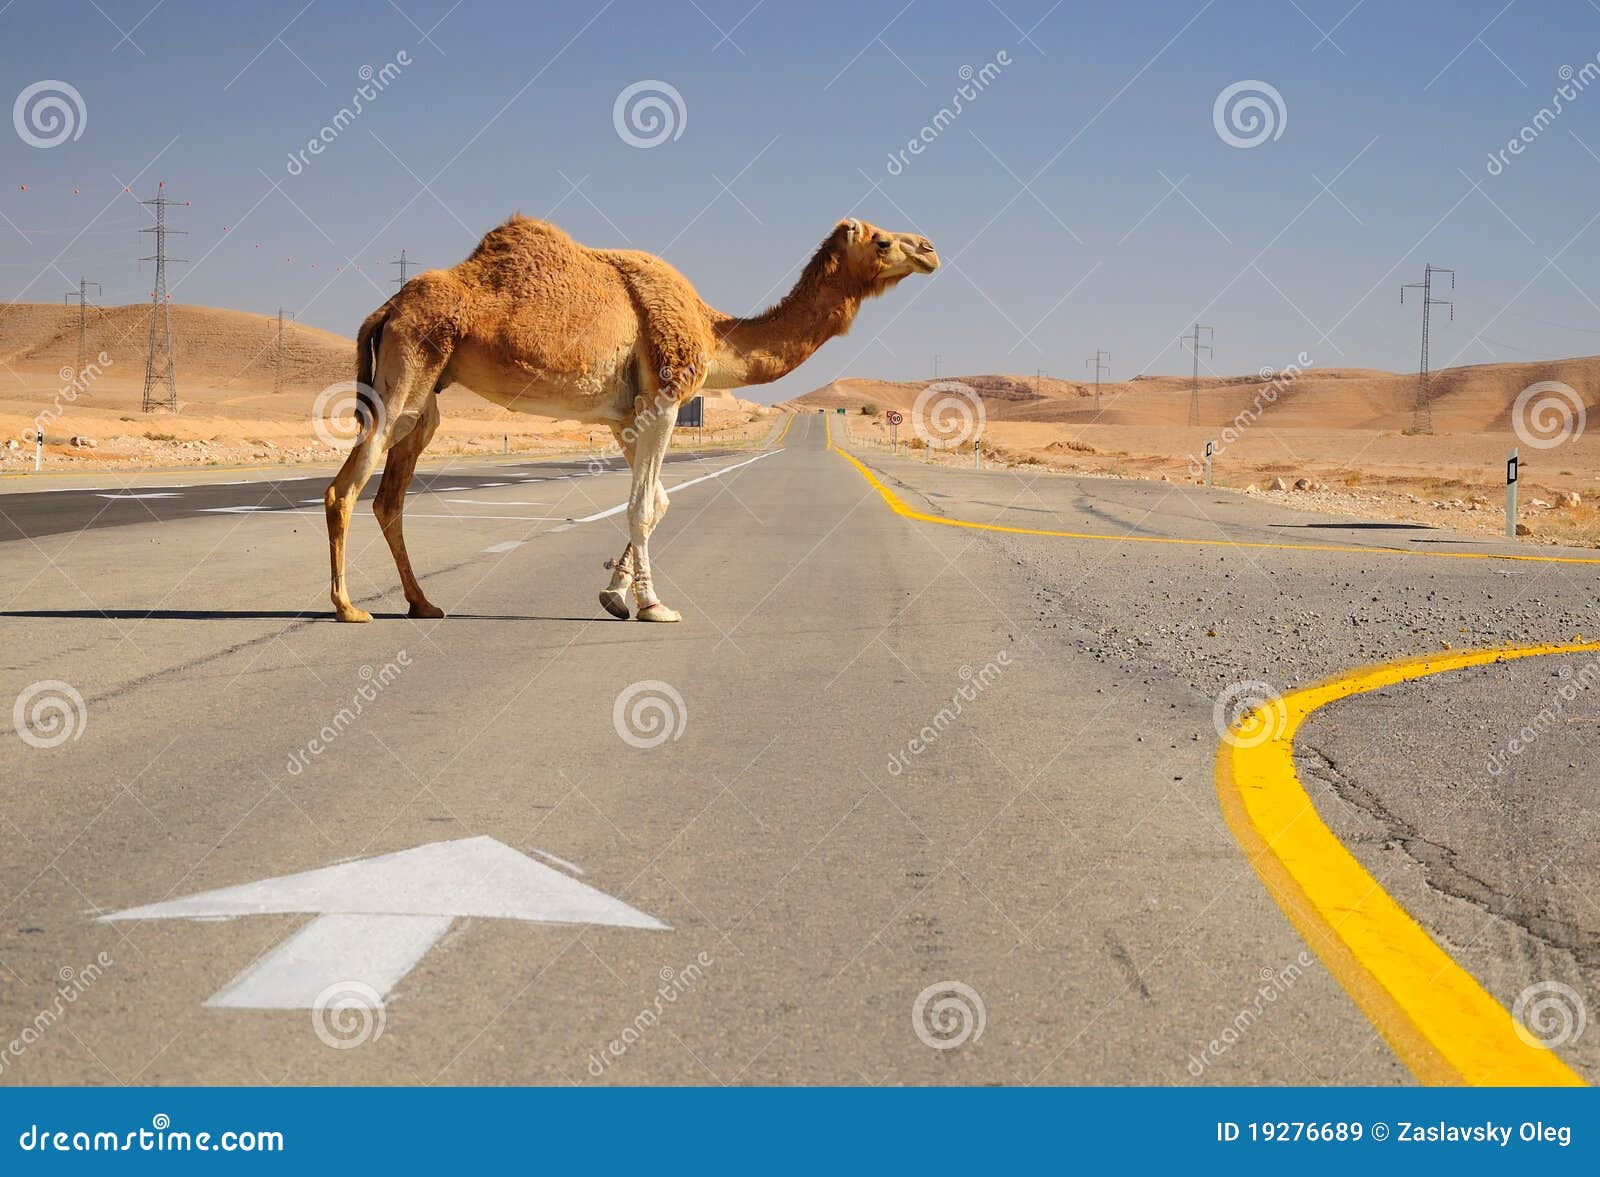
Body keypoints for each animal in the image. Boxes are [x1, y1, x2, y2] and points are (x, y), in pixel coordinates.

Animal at [324, 214, 939, 623]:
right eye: (883, 240)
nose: (930, 248)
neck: (712, 332)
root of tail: (386, 308)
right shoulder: (666, 395)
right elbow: (643, 506)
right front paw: (653, 604)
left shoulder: (629, 414)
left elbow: (657, 501)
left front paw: (615, 595)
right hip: (410, 365)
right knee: (346, 487)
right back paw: (349, 606)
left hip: (426, 392)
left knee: (390, 495)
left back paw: (422, 602)